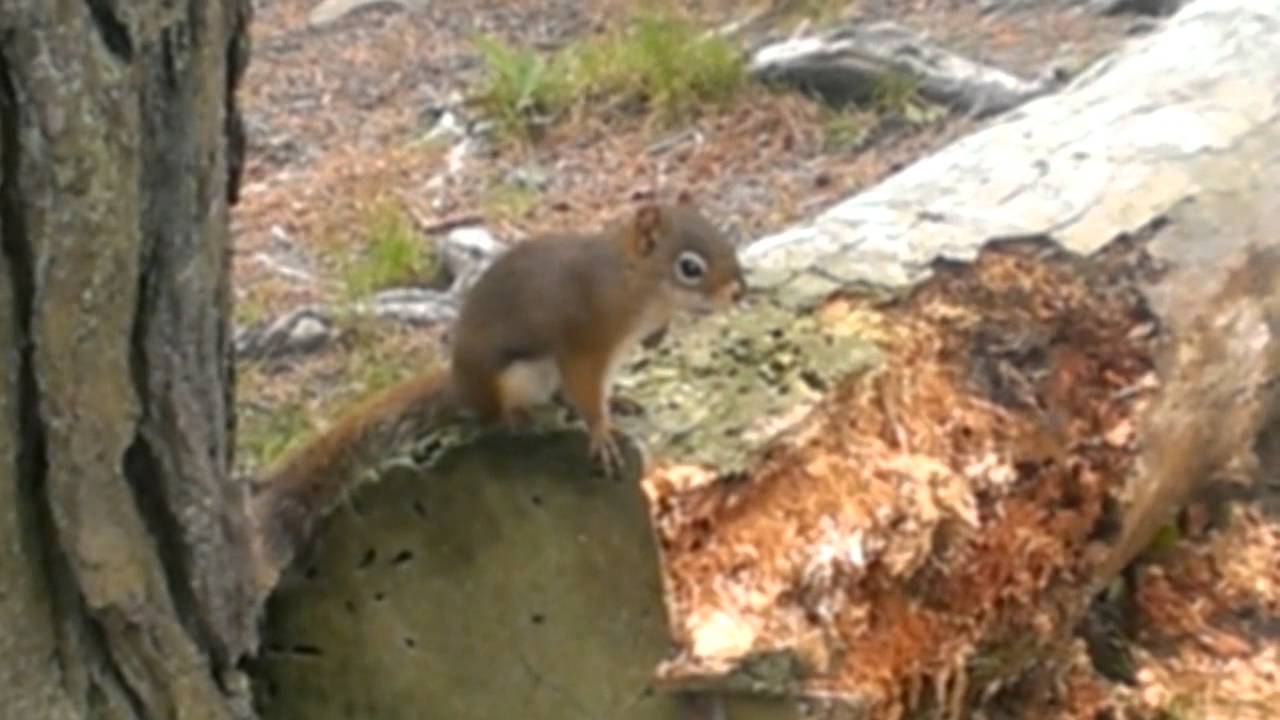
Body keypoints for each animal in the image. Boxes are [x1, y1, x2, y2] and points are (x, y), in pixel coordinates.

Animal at [248, 198, 746, 595]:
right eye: (690, 266)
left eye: (723, 236)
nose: (741, 291)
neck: (633, 281)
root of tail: (462, 387)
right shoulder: (585, 345)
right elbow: (587, 393)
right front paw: (602, 434)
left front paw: (620, 397)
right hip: (513, 378)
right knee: (498, 419)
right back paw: (524, 418)